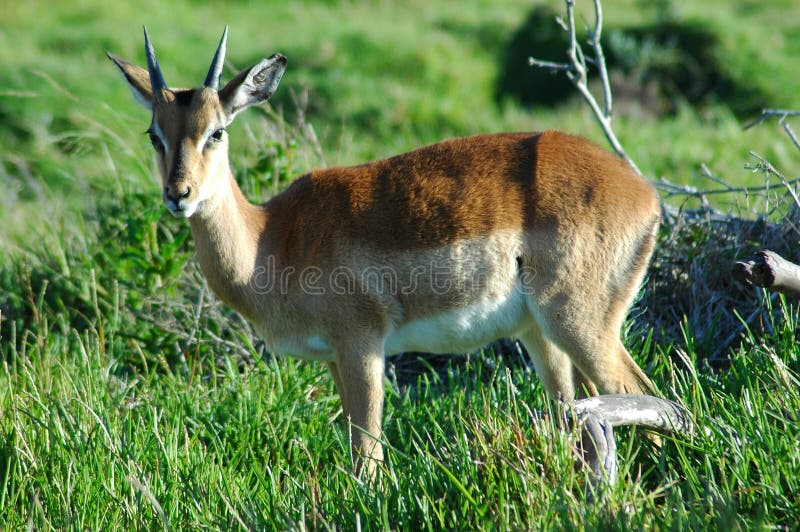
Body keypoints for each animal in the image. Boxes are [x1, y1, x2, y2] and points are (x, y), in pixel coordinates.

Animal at [108, 27, 660, 477]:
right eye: (155, 134)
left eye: (216, 130)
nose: (178, 194)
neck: (272, 241)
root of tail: (645, 194)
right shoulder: (334, 357)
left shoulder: (363, 346)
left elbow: (367, 456)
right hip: (540, 336)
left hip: (579, 323)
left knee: (645, 397)